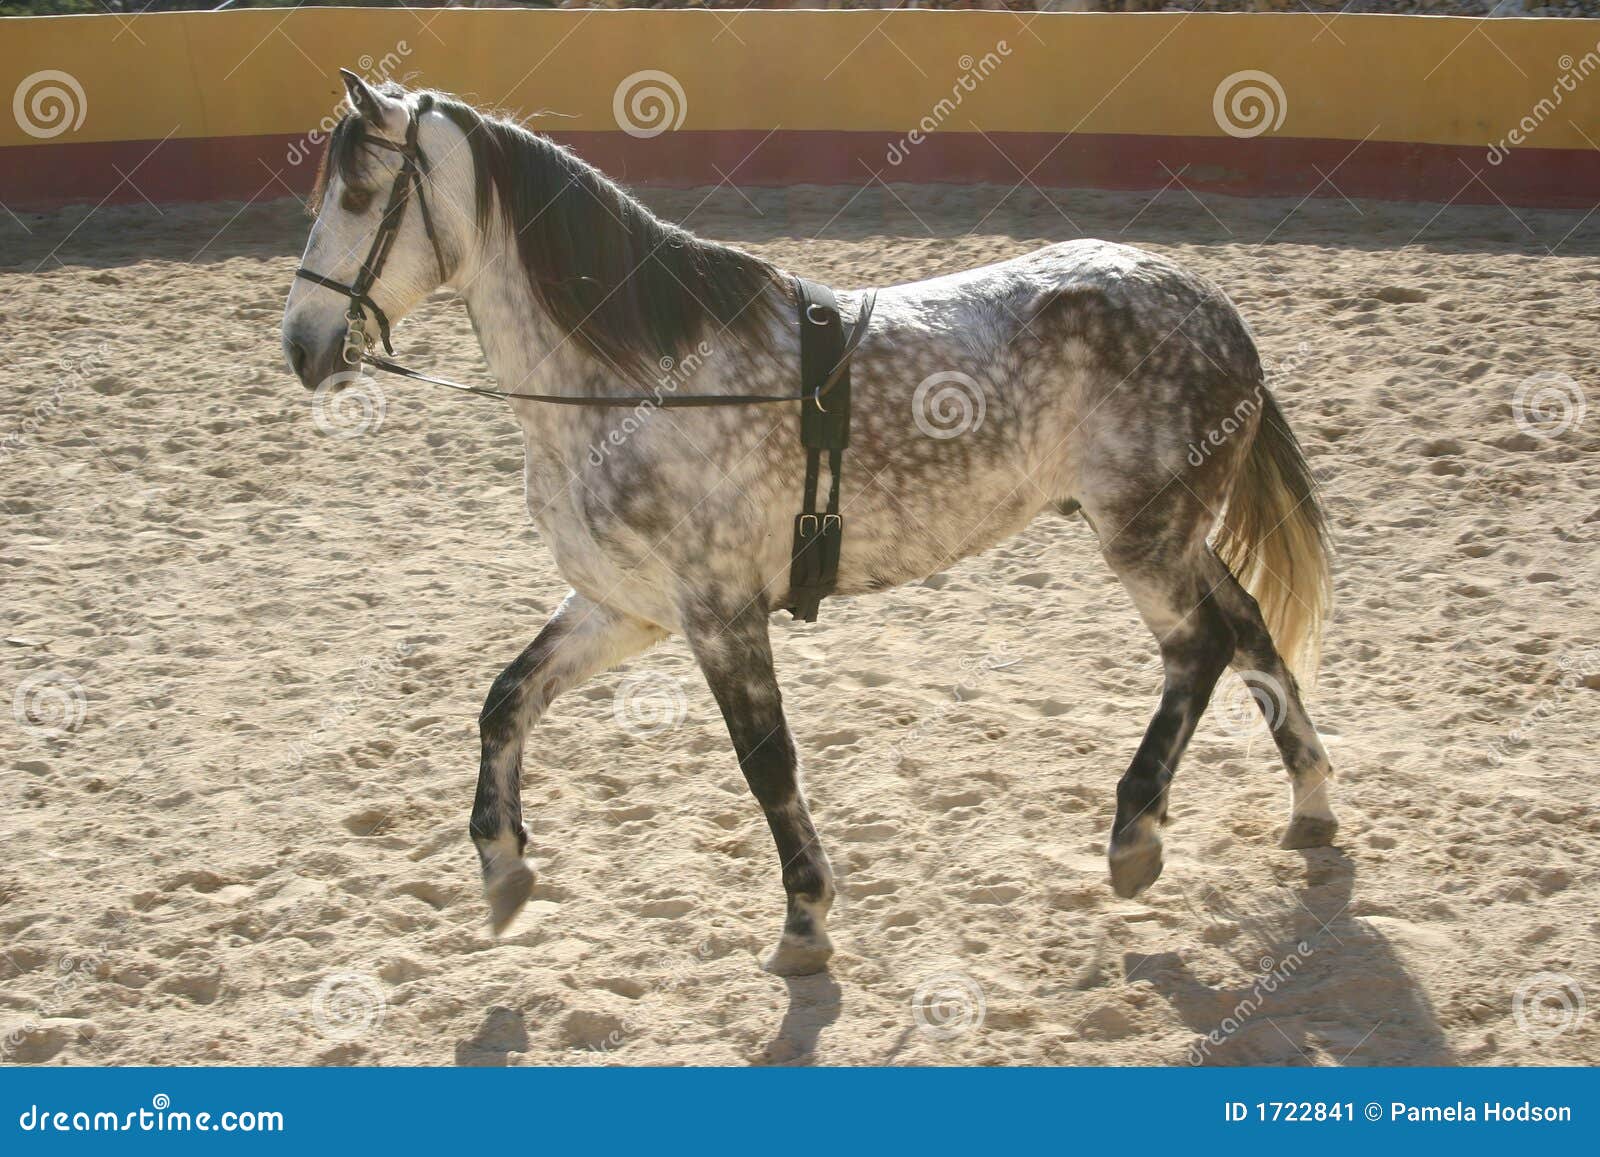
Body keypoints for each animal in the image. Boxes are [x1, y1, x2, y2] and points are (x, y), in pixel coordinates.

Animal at [282, 71, 1338, 976]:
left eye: (359, 195)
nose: (302, 346)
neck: (634, 383)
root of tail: (1210, 304)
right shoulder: (626, 606)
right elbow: (506, 700)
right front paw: (502, 868)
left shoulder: (721, 613)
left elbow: (768, 763)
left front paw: (805, 918)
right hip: (1176, 536)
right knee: (1251, 631)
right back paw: (1313, 807)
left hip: (1143, 538)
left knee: (1200, 649)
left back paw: (1135, 837)